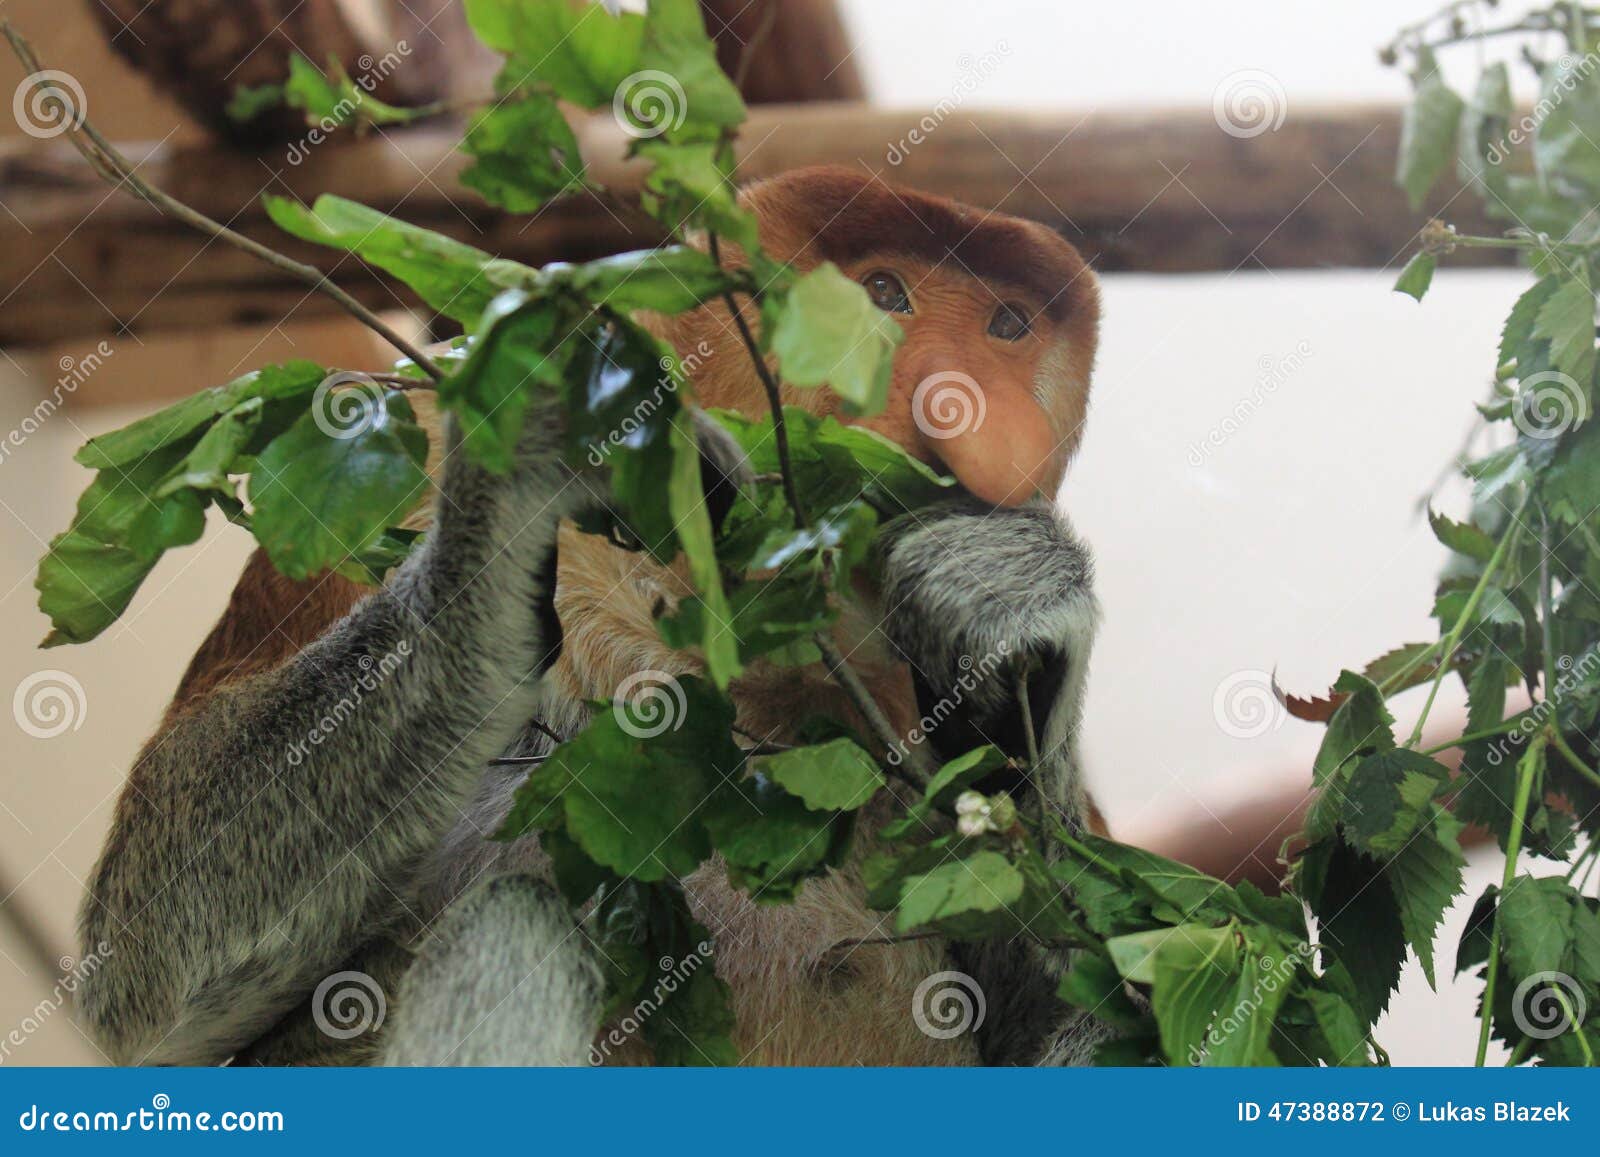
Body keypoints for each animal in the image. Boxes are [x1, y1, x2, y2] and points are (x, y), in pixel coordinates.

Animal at [75, 166, 1109, 1068]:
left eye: (1009, 324)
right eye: (887, 292)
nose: (970, 413)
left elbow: (1072, 1001)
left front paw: (1007, 627)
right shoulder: (401, 440)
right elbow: (142, 966)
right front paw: (536, 459)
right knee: (515, 916)